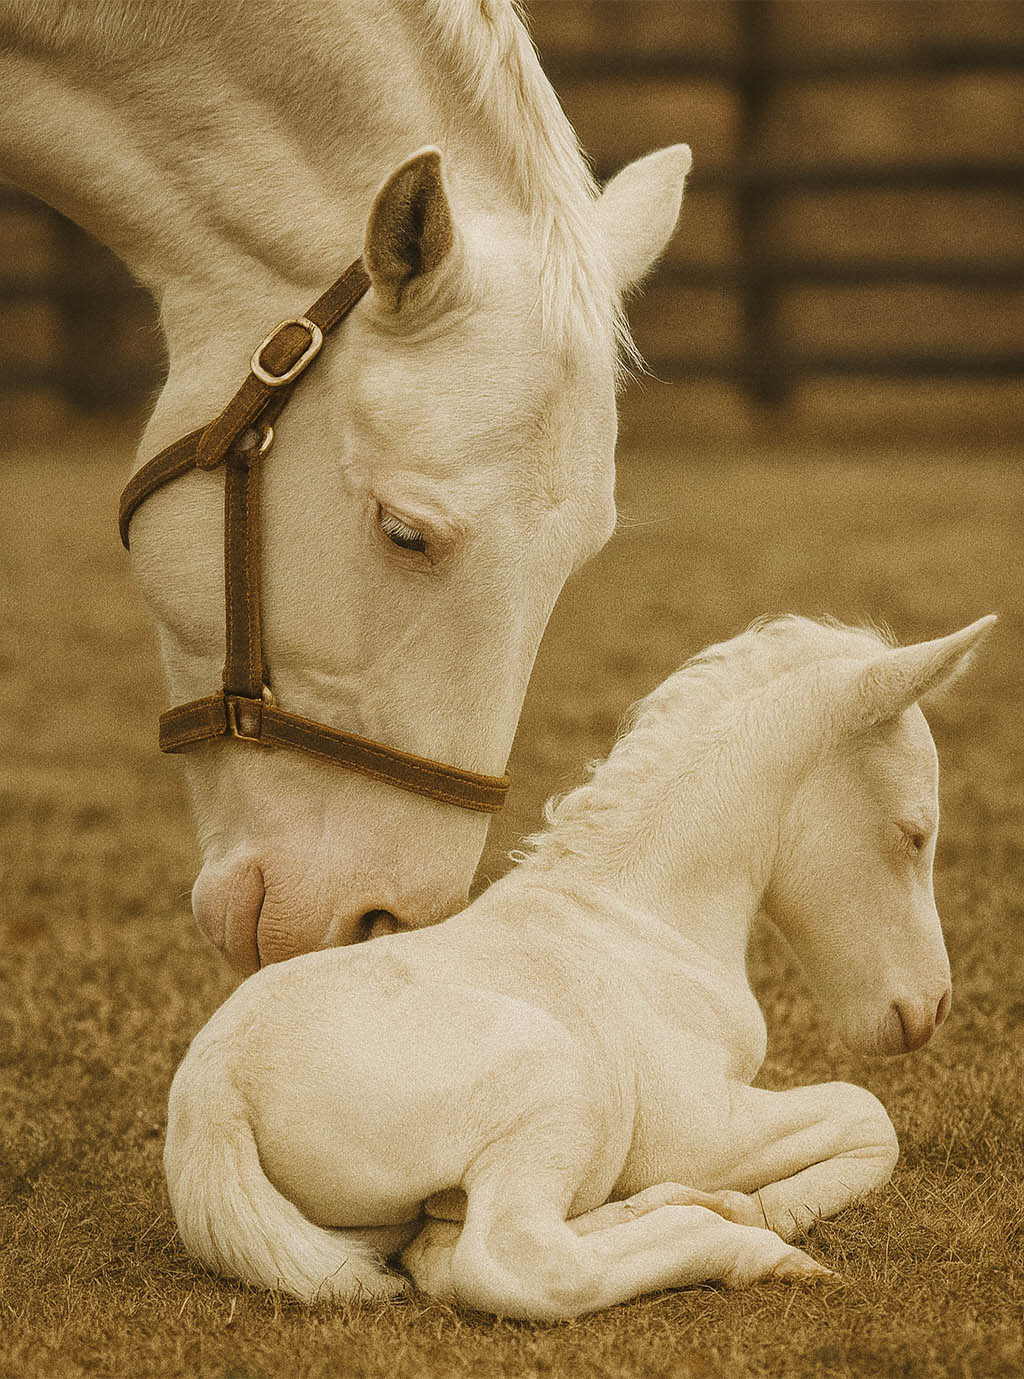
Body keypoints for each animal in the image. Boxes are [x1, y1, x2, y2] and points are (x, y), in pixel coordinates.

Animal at [164, 612, 995, 1317]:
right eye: (915, 833)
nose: (927, 1011)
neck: (641, 915)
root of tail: (214, 1092)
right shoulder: (700, 1125)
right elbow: (868, 1112)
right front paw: (764, 1210)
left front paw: (740, 1201)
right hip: (553, 1080)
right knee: (513, 1260)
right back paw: (748, 1245)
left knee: (444, 1251)